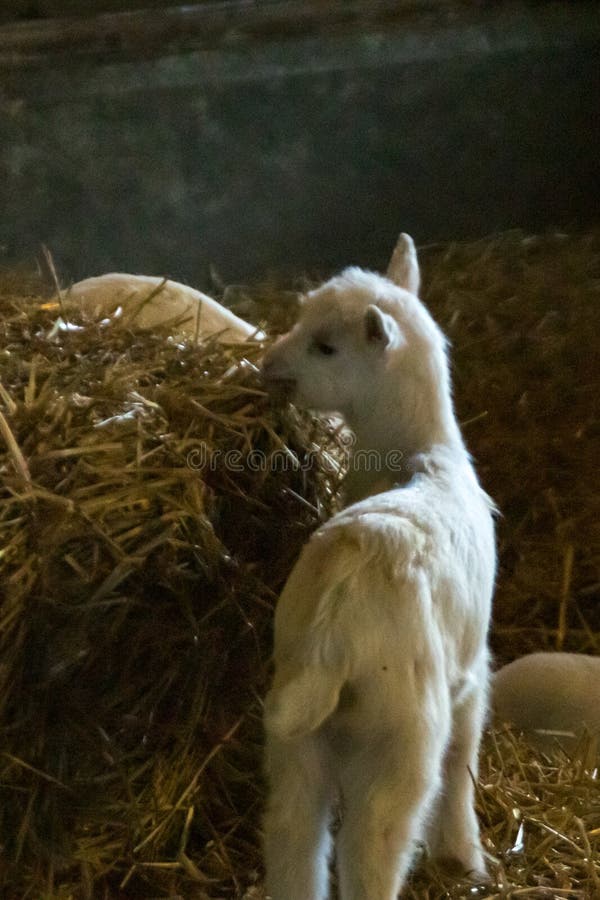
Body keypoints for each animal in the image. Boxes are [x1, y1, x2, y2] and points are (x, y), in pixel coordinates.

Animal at [261, 235, 496, 899]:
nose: (266, 366)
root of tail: (332, 631)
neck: (419, 453)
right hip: (401, 734)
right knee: (373, 846)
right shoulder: (473, 674)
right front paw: (466, 857)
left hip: (296, 733)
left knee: (293, 837)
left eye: (325, 346)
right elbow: (463, 765)